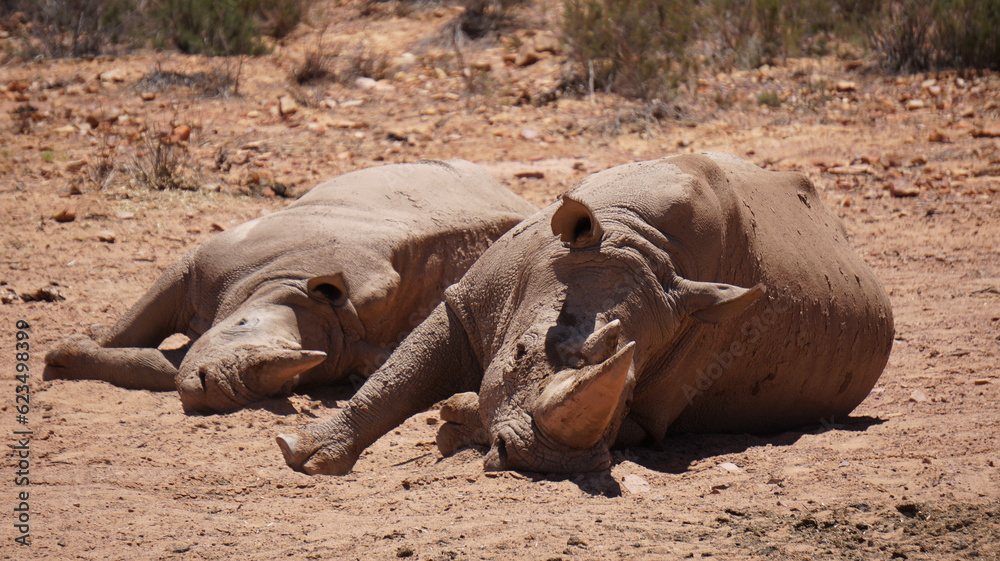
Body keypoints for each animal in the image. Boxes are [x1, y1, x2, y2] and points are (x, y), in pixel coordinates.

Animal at [43, 160, 537, 413]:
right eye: (243, 323)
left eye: (296, 383)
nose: (222, 390)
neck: (289, 282)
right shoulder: (201, 265)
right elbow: (140, 322)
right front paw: (66, 350)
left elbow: (163, 366)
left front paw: (67, 355)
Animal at [277, 153, 894, 475]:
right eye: (520, 351)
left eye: (631, 388)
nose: (540, 462)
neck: (634, 239)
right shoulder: (467, 301)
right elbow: (397, 379)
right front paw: (306, 456)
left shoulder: (676, 363)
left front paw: (462, 422)